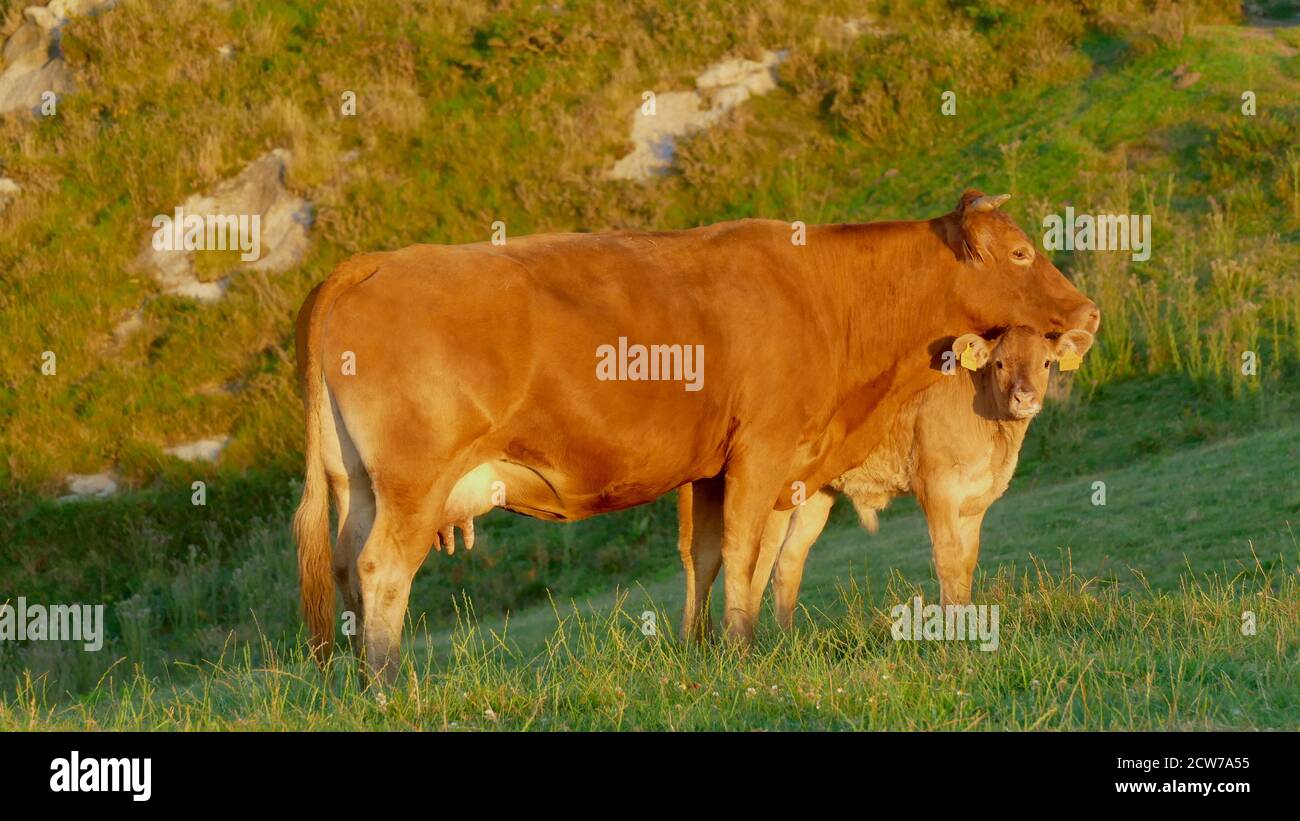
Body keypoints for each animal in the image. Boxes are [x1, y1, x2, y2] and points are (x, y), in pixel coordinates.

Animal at [679, 326, 1094, 634]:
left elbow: (966, 562)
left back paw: (786, 641)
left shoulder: (976, 502)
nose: (1025, 398)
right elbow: (947, 558)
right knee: (743, 560)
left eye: (1045, 362)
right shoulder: (936, 487)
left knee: (787, 561)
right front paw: (952, 633)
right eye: (1000, 364)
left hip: (814, 496)